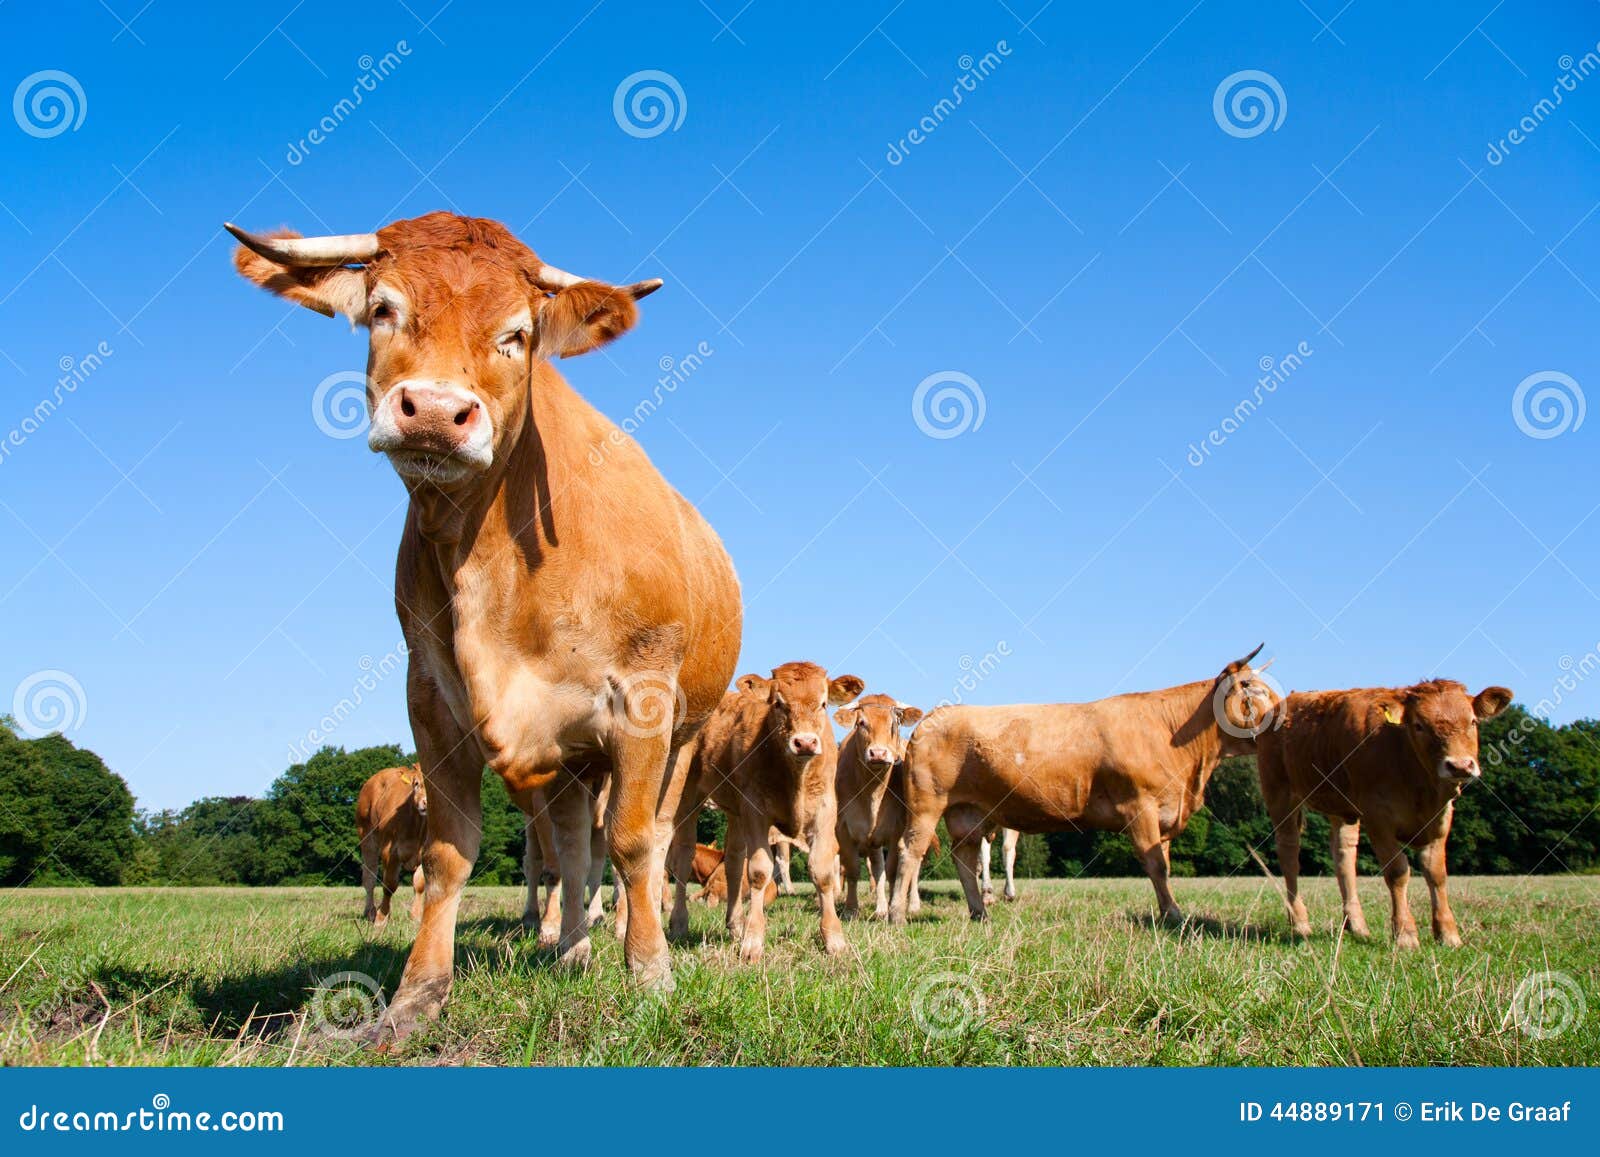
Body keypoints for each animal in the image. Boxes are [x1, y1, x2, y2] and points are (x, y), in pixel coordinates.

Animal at [356, 765, 427, 927]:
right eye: (416, 783)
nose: (426, 803)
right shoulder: (390, 851)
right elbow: (389, 885)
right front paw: (381, 919)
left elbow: (419, 884)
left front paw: (416, 917)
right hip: (366, 837)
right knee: (369, 878)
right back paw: (370, 913)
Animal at [667, 662, 865, 961]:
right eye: (778, 703)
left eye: (822, 704)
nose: (805, 743)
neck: (796, 777)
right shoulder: (755, 811)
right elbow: (759, 871)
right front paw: (753, 941)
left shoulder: (825, 810)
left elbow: (822, 872)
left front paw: (834, 939)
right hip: (690, 795)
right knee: (685, 856)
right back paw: (679, 923)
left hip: (735, 812)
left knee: (734, 861)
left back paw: (735, 924)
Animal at [832, 694, 924, 919]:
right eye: (861, 723)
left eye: (894, 724)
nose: (878, 753)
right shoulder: (842, 828)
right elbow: (853, 869)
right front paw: (850, 910)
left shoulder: (896, 830)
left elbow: (892, 871)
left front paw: (893, 908)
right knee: (876, 867)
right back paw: (880, 907)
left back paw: (908, 905)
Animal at [890, 646, 1279, 925]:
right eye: (1255, 691)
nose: (1285, 714)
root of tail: (935, 717)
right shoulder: (1139, 805)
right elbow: (1156, 864)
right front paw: (1174, 915)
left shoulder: (1165, 811)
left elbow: (1164, 862)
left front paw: (1168, 911)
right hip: (927, 805)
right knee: (911, 851)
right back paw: (897, 913)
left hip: (967, 811)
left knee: (964, 857)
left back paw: (979, 912)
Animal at [1254, 679, 1512, 948]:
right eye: (1419, 725)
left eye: (1472, 721)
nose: (1460, 765)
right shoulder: (1377, 817)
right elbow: (1398, 872)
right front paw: (1405, 935)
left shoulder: (1440, 818)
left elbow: (1436, 873)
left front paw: (1448, 934)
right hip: (1280, 794)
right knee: (1289, 853)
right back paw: (1300, 923)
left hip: (1341, 806)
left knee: (1343, 854)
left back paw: (1357, 925)